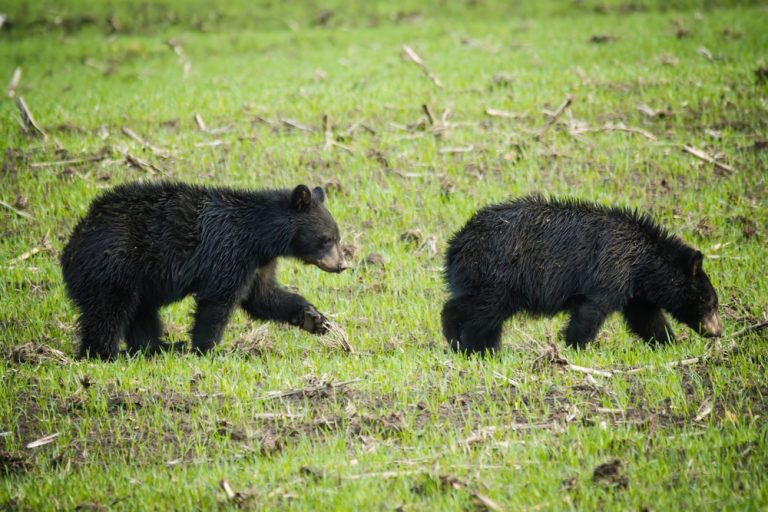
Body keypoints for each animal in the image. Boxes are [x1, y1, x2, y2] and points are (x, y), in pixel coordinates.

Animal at [61, 181, 348, 360]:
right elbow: (218, 302)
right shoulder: (230, 252)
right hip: (114, 266)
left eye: (336, 237)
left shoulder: (259, 264)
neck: (260, 238)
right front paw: (209, 349)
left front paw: (313, 318)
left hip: (137, 281)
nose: (342, 265)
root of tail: (71, 247)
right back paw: (107, 354)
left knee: (141, 314)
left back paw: (161, 347)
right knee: (108, 313)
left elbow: (263, 297)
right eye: (327, 239)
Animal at [441, 195, 722, 355]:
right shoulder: (612, 268)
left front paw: (670, 343)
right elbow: (591, 312)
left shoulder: (636, 290)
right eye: (711, 303)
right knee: (477, 309)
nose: (718, 332)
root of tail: (455, 244)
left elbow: (648, 319)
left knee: (487, 316)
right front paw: (576, 347)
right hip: (499, 276)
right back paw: (459, 340)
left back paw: (486, 348)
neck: (642, 261)